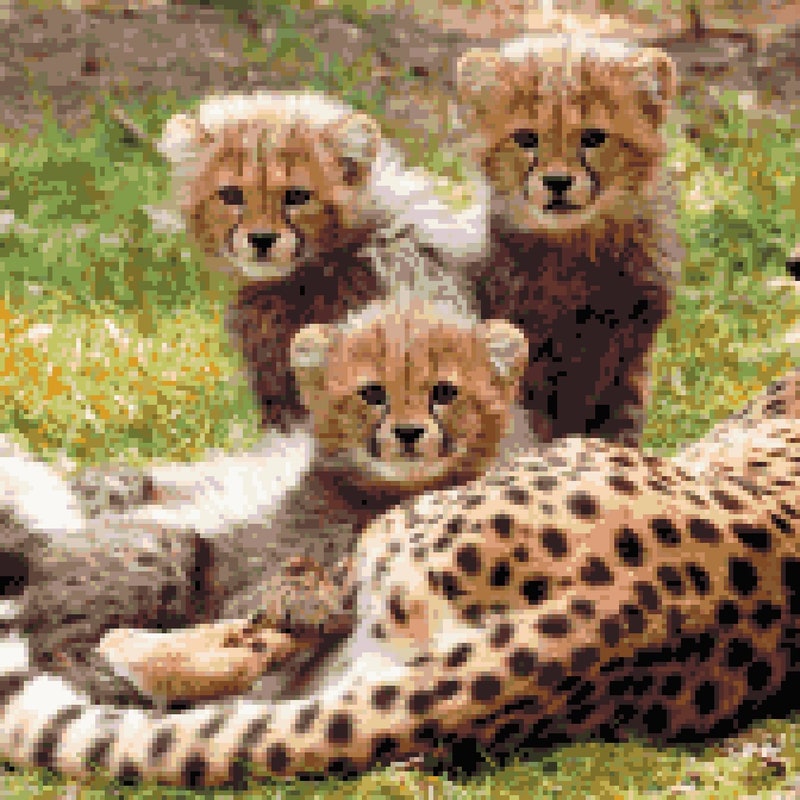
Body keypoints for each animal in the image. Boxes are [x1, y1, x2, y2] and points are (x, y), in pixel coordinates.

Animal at [456, 31, 683, 446]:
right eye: (525, 138)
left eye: (593, 137)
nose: (557, 182)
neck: (579, 245)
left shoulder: (628, 360)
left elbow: (620, 435)